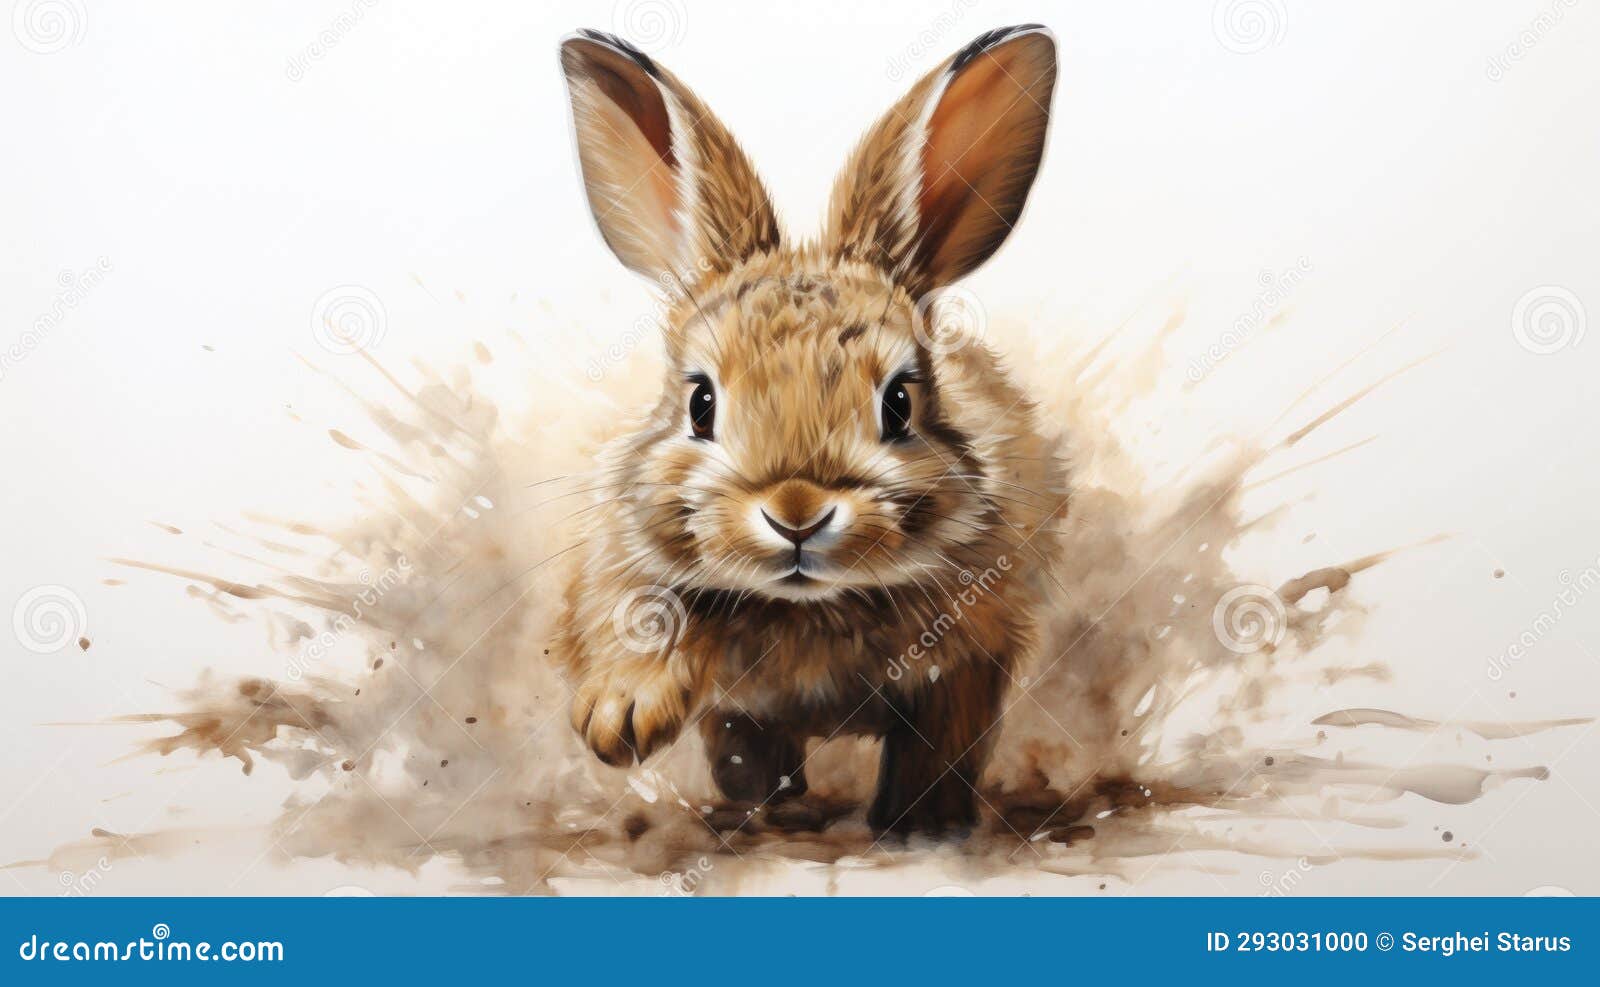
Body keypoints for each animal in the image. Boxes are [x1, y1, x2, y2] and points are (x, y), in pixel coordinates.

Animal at [553, 25, 1066, 835]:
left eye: (898, 403)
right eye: (701, 404)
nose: (796, 513)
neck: (810, 605)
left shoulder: (973, 654)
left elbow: (940, 744)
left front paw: (919, 823)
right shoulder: (624, 558)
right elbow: (645, 618)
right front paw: (621, 718)